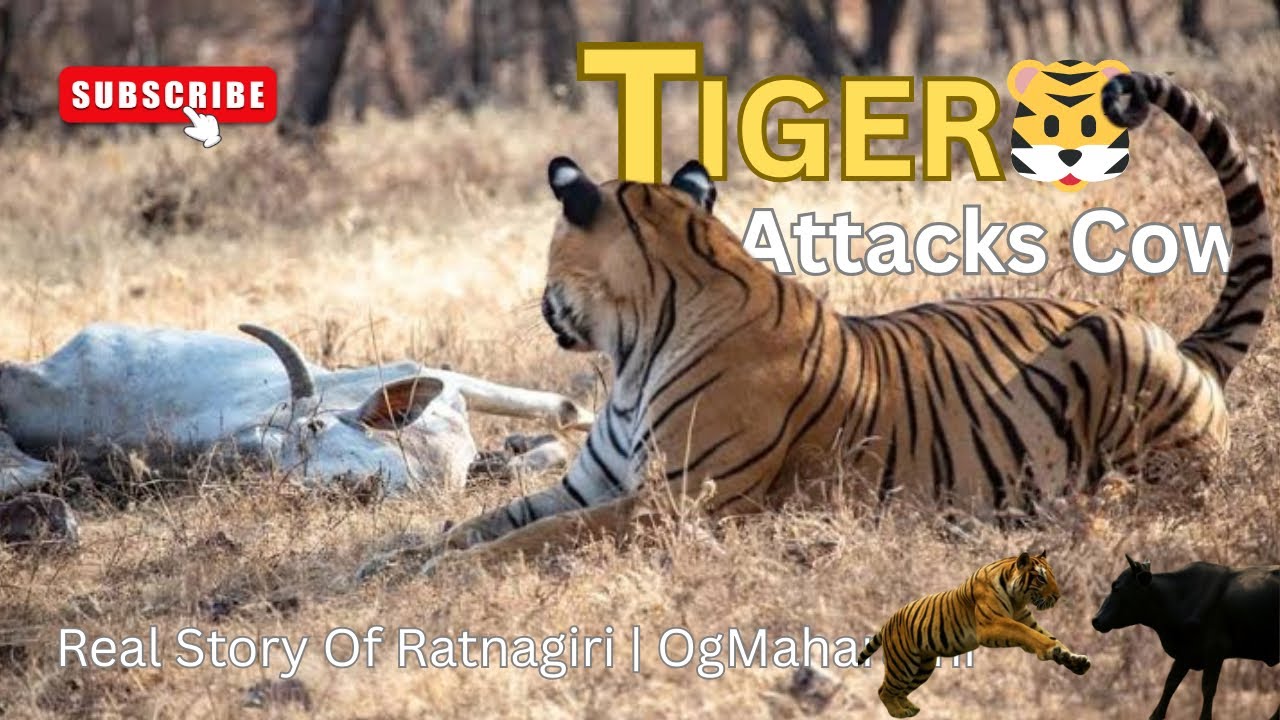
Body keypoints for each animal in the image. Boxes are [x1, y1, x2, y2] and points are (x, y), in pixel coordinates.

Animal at [855, 550, 1089, 718]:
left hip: (922, 667)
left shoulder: (1026, 620)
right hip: (903, 664)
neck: (1017, 599)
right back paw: (900, 712)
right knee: (884, 690)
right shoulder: (991, 625)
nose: (1058, 596)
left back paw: (910, 708)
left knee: (900, 691)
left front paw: (1074, 659)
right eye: (1041, 579)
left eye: (1052, 576)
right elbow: (1026, 633)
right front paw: (1052, 649)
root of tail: (888, 621)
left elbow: (1049, 637)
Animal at [1092, 555, 1280, 720]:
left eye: (1117, 588)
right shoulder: (1185, 653)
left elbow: (1208, 688)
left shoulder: (1215, 652)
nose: (1095, 620)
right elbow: (1170, 683)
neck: (1180, 597)